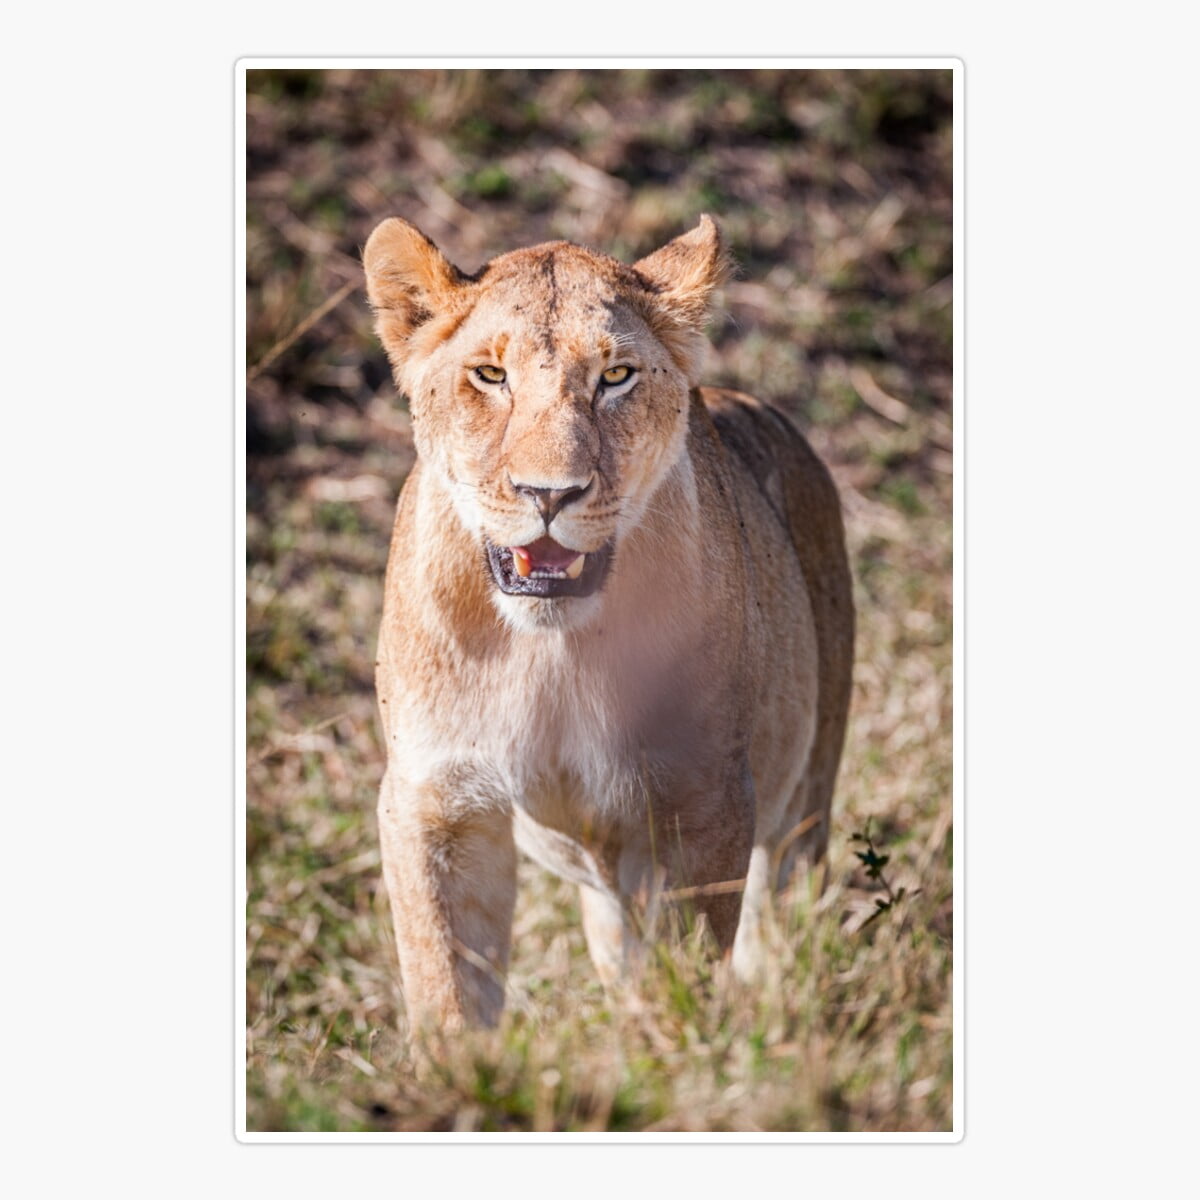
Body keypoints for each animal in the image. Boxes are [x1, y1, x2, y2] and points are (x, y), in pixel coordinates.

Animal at [363, 214, 854, 1031]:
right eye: (490, 376)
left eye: (616, 376)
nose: (549, 493)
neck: (549, 650)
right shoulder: (437, 801)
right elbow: (447, 987)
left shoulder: (704, 797)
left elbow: (689, 966)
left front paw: (683, 1045)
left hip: (804, 796)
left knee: (781, 913)